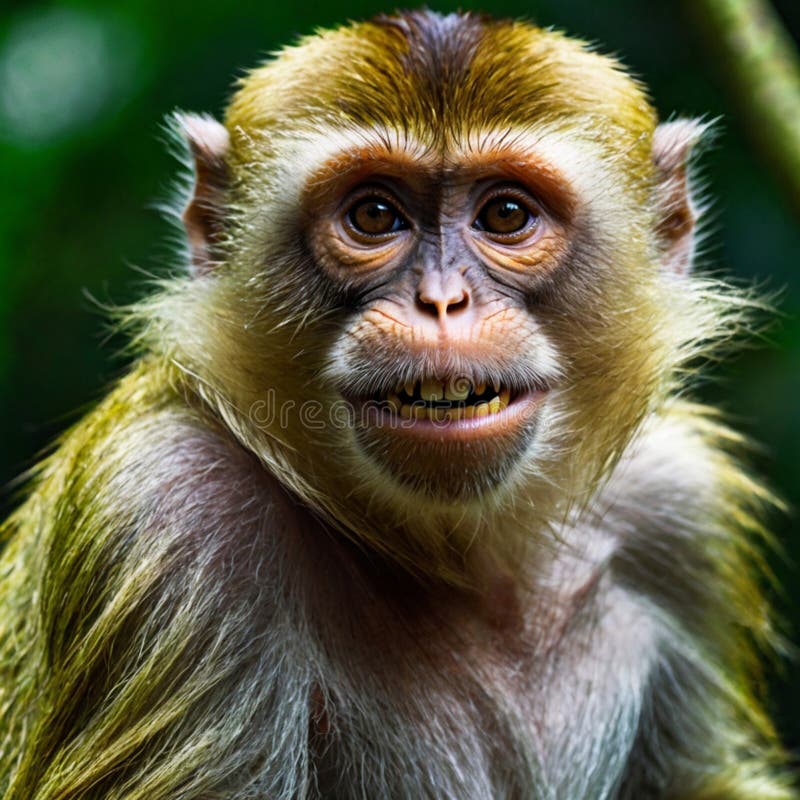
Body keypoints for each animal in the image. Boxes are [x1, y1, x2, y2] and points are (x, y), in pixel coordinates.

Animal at [0, 9, 795, 799]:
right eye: (376, 214)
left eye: (506, 214)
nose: (442, 301)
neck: (461, 561)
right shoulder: (168, 507)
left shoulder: (677, 506)